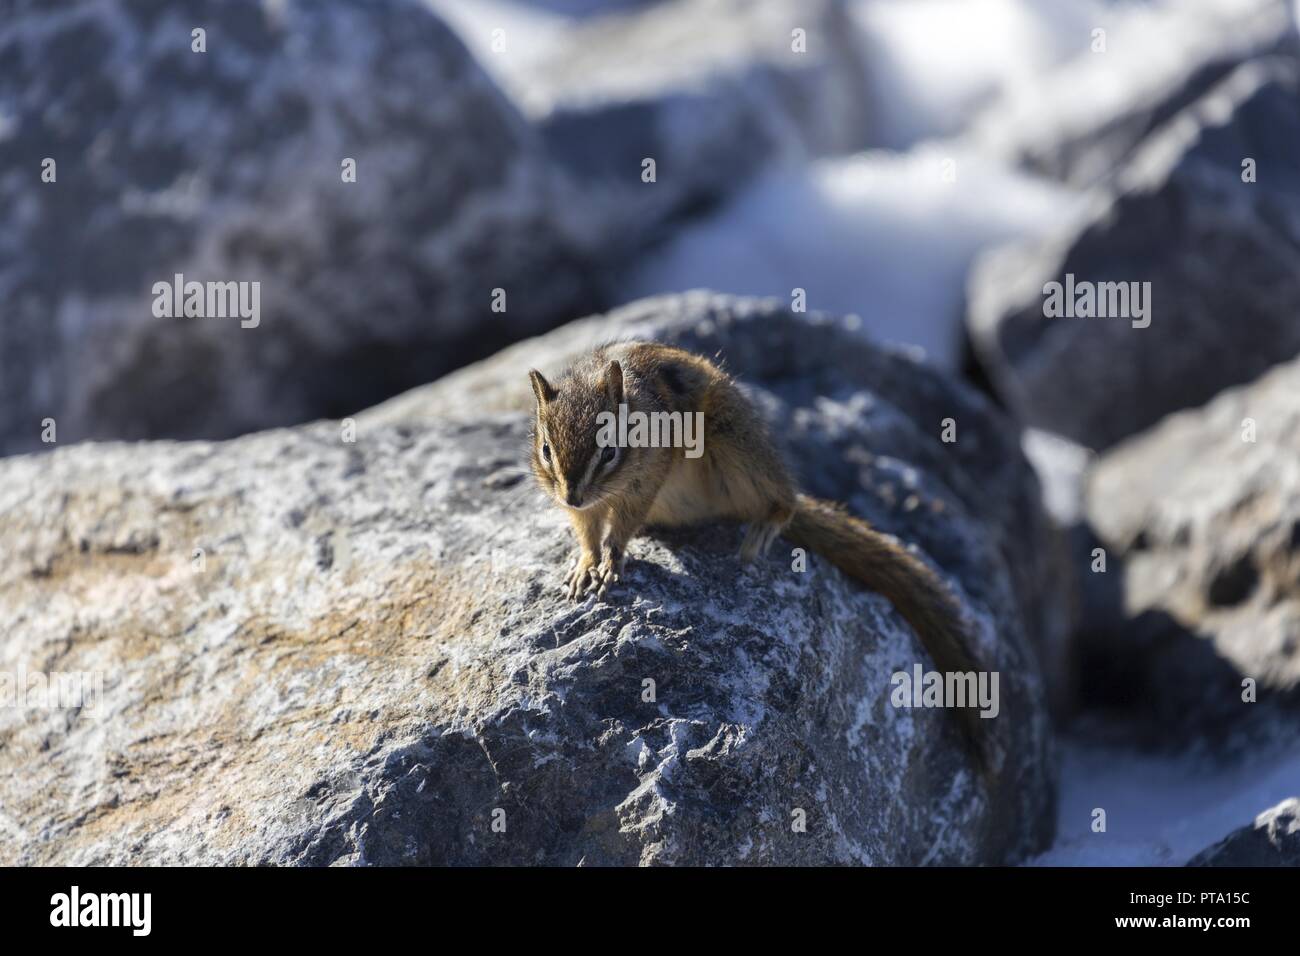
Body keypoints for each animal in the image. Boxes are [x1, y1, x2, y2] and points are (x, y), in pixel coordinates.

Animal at [528, 341, 990, 768]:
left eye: (608, 451)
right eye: (547, 449)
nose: (571, 495)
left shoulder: (645, 481)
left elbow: (621, 527)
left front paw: (610, 561)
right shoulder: (581, 507)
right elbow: (586, 531)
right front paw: (585, 565)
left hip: (735, 440)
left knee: (783, 499)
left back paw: (767, 523)